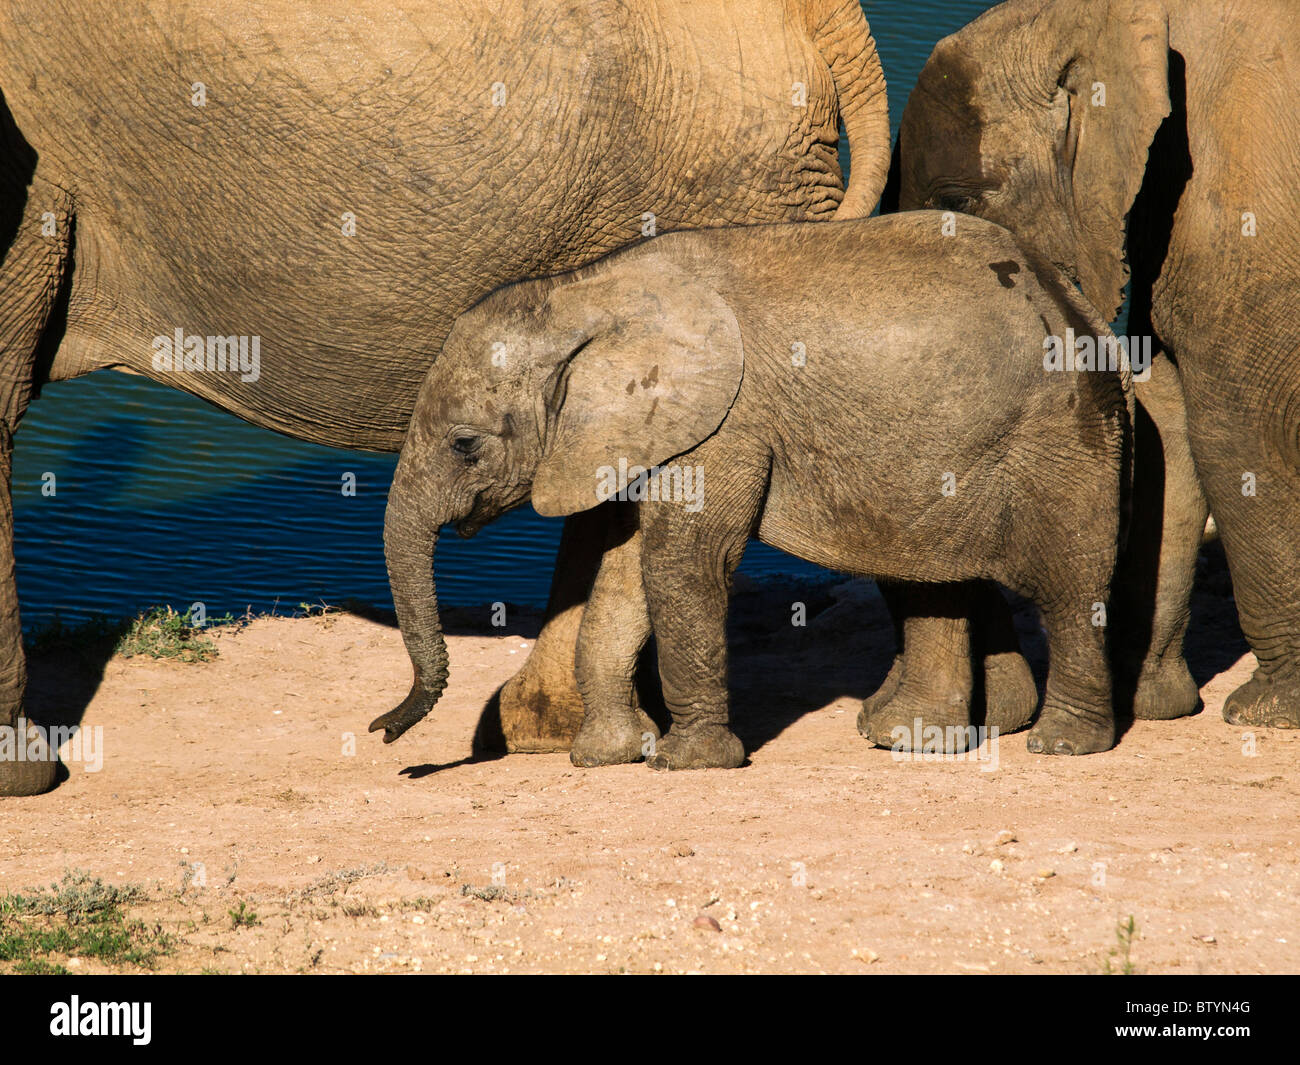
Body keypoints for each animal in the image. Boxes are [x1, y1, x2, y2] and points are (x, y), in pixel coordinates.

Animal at [375, 211, 1135, 768]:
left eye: (465, 444)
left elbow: (683, 564)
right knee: (932, 576)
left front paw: (686, 763)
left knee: (1070, 583)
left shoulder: (725, 421)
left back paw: (1062, 745)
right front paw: (606, 758)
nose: (384, 731)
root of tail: (1083, 306)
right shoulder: (644, 433)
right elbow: (624, 571)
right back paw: (912, 736)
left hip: (1062, 433)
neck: (582, 292)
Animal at [870, 0, 1300, 740]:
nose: (871, 721)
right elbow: (1166, 425)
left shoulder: (1240, 214)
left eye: (960, 204)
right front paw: (1148, 706)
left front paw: (1269, 710)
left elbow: (1237, 436)